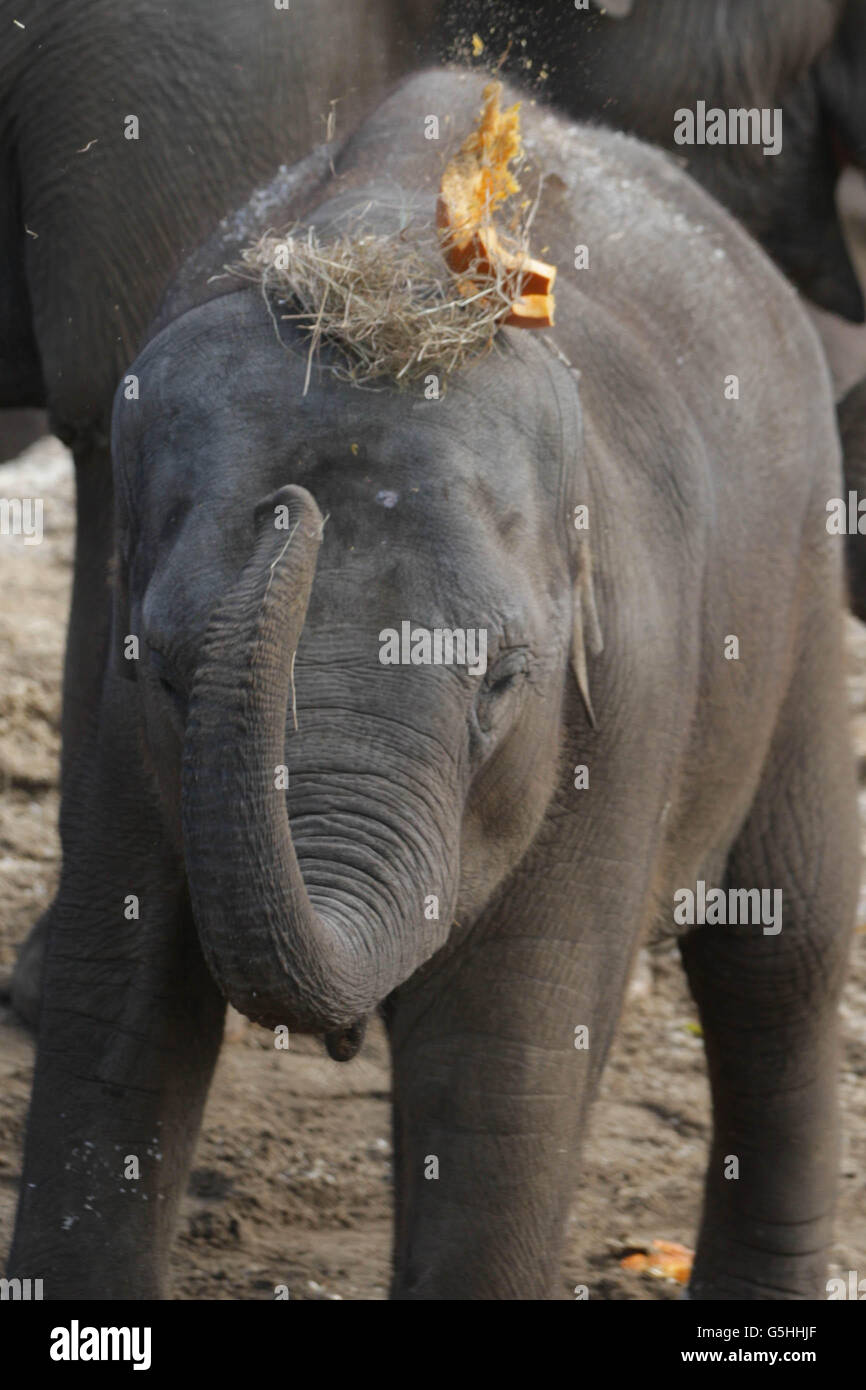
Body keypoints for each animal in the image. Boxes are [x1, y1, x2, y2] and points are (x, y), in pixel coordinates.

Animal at [8, 67, 857, 1299]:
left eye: (501, 682)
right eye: (167, 672)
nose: (289, 512)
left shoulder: (625, 700)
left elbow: (499, 1067)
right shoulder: (121, 717)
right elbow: (111, 1002)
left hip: (798, 597)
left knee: (782, 954)